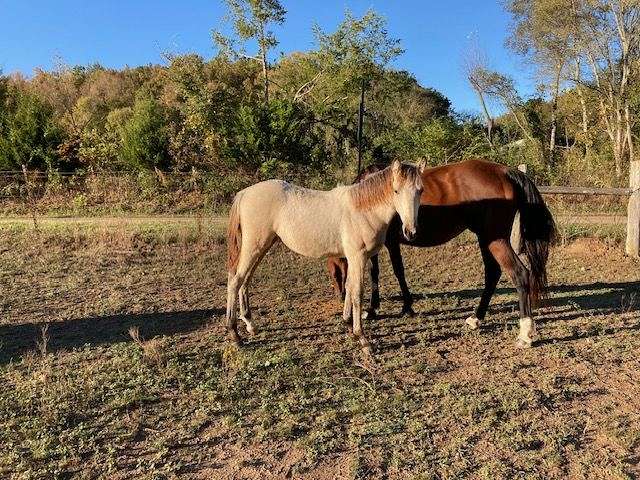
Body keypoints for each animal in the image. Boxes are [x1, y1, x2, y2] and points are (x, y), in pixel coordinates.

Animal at [226, 160, 425, 354]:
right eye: (396, 190)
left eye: (420, 190)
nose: (411, 232)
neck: (362, 210)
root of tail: (245, 193)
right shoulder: (358, 257)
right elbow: (357, 292)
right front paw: (362, 339)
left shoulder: (353, 259)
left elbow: (349, 287)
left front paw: (347, 323)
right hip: (254, 247)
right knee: (235, 281)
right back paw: (235, 335)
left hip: (262, 247)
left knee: (245, 281)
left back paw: (250, 324)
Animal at [327, 158, 556, 348]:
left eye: (335, 273)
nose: (339, 295)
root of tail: (504, 171)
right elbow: (382, 273)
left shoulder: (388, 243)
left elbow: (392, 272)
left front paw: (387, 308)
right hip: (486, 238)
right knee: (492, 274)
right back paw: (476, 318)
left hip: (495, 239)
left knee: (519, 274)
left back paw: (525, 334)